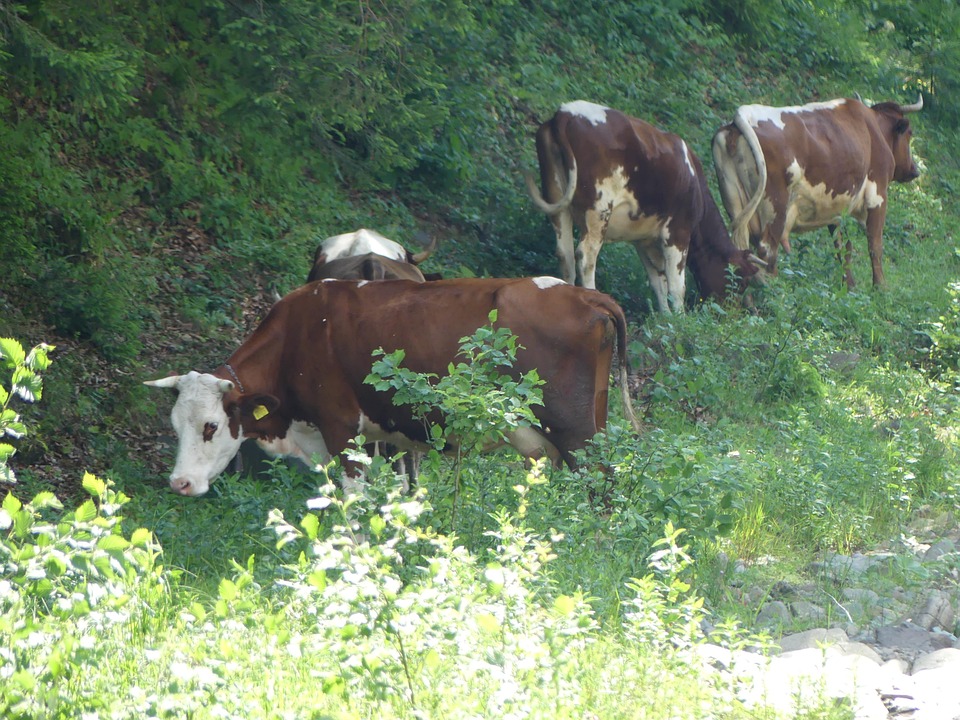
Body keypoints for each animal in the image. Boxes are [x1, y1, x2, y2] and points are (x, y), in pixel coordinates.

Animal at [145, 277, 640, 497]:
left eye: (210, 426)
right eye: (175, 426)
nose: (179, 482)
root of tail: (585, 294)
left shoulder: (340, 426)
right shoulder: (384, 435)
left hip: (576, 433)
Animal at [524, 100, 763, 313]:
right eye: (739, 281)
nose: (730, 313)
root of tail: (564, 113)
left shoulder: (643, 239)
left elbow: (658, 281)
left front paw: (666, 317)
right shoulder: (678, 232)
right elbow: (676, 285)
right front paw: (680, 319)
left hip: (558, 203)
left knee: (565, 255)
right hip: (598, 210)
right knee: (585, 256)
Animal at [712, 95, 923, 288]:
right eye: (909, 133)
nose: (915, 170)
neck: (874, 130)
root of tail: (742, 117)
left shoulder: (838, 207)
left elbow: (843, 247)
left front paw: (850, 286)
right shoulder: (877, 196)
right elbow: (875, 245)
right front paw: (880, 288)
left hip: (736, 202)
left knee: (740, 249)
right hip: (776, 206)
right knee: (767, 250)